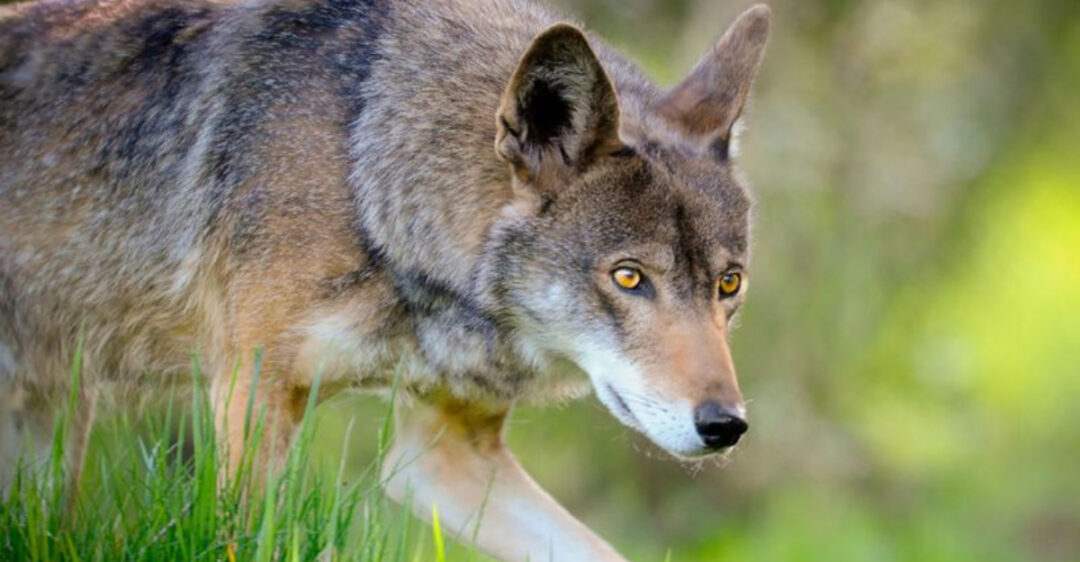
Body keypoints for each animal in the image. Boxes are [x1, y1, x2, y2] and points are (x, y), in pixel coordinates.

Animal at [0, 0, 771, 559]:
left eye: (729, 285)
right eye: (629, 277)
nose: (725, 426)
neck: (365, 168)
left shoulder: (442, 456)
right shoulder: (249, 392)